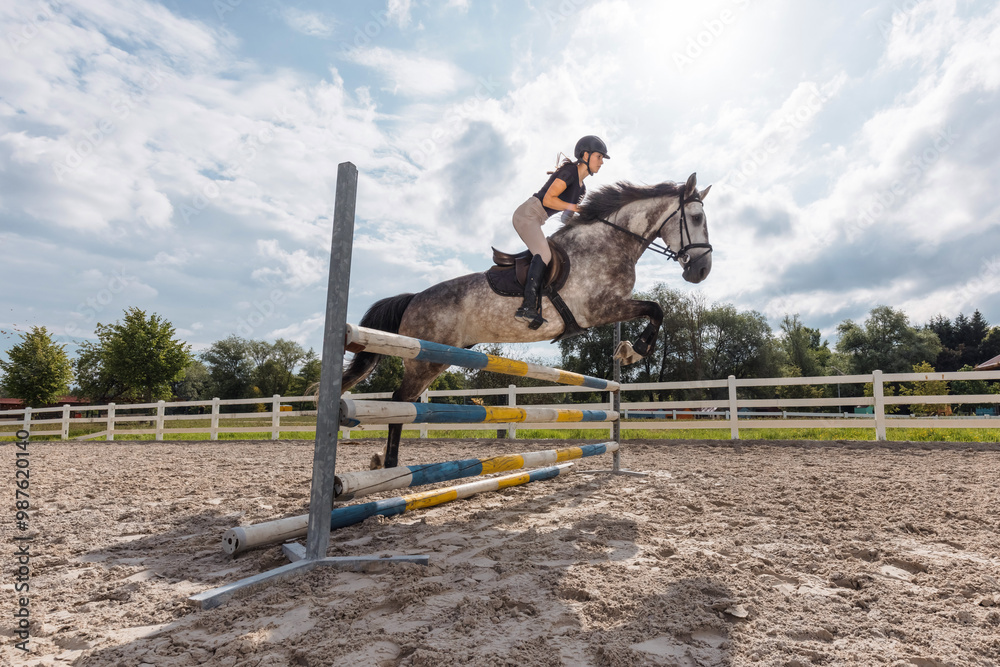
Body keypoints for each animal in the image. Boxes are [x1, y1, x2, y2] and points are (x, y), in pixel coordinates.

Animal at [342, 172, 713, 468]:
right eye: (696, 218)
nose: (702, 271)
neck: (609, 242)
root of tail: (414, 298)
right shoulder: (600, 308)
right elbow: (656, 308)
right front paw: (635, 350)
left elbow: (655, 308)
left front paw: (626, 350)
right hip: (424, 361)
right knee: (399, 403)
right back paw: (389, 465)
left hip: (434, 359)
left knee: (404, 404)